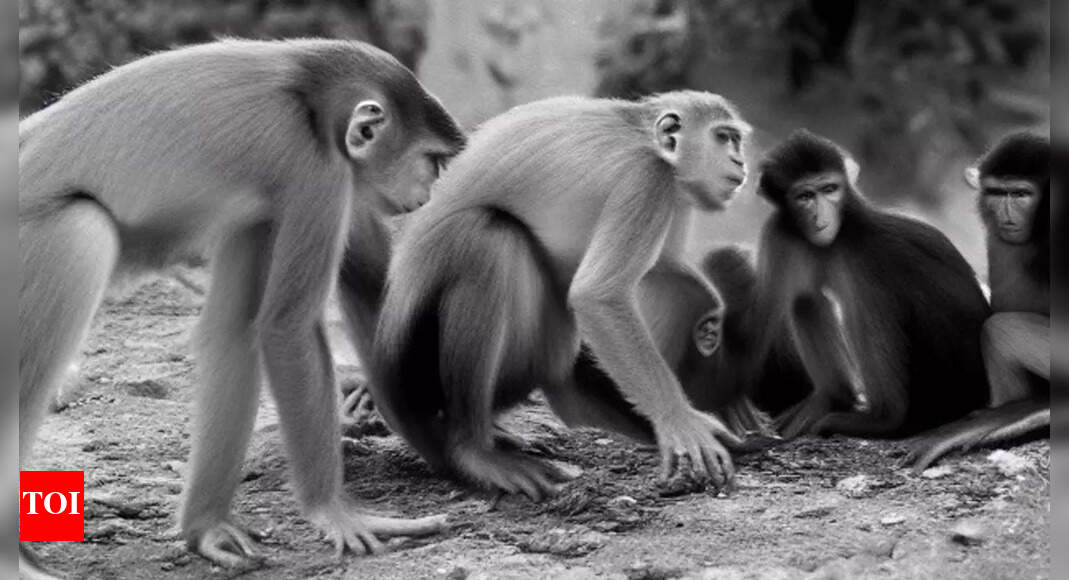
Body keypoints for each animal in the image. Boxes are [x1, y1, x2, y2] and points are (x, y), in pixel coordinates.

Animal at [18, 39, 465, 575]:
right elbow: (286, 329)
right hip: (38, 235)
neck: (309, 97)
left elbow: (239, 330)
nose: (429, 190)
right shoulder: (315, 171)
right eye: (432, 159)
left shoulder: (280, 205)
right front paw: (333, 511)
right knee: (85, 231)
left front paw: (205, 528)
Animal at [368, 91, 751, 500]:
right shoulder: (648, 180)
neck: (651, 141)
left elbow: (666, 271)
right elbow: (599, 295)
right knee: (489, 235)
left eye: (736, 140)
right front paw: (676, 417)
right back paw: (475, 451)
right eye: (725, 138)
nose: (740, 160)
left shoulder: (676, 195)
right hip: (412, 368)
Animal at [749, 130, 991, 440]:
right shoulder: (779, 232)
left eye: (830, 189)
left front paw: (875, 420)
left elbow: (892, 410)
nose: (820, 215)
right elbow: (803, 299)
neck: (844, 232)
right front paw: (832, 399)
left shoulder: (866, 267)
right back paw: (833, 397)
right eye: (804, 196)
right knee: (805, 302)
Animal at [906, 133, 1051, 471]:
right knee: (996, 330)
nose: (1007, 214)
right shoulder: (1002, 240)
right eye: (998, 193)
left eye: (1021, 194)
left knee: (1002, 327)